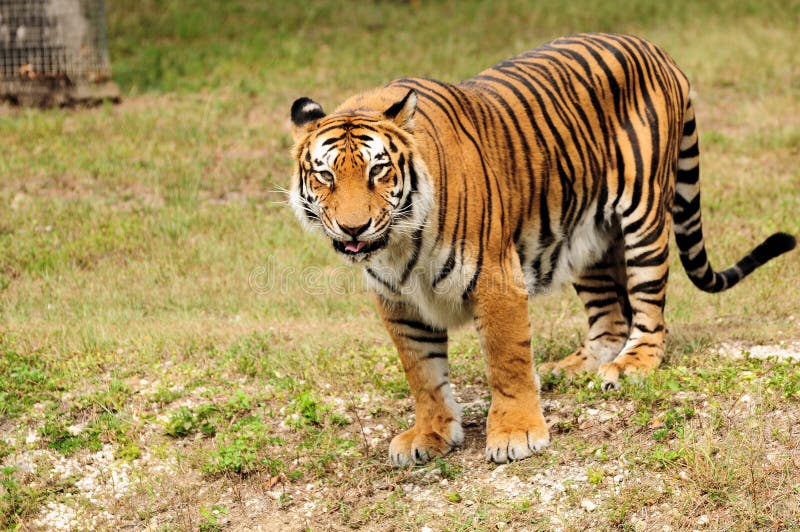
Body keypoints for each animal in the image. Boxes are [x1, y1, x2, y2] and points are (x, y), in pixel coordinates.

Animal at [287, 33, 796, 466]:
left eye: (378, 171)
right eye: (326, 175)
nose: (354, 227)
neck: (397, 244)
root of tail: (656, 49)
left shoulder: (494, 277)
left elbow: (505, 360)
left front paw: (516, 434)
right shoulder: (397, 301)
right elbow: (423, 374)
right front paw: (430, 434)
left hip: (644, 214)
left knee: (649, 308)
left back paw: (631, 365)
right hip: (585, 234)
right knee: (610, 318)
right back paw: (575, 367)